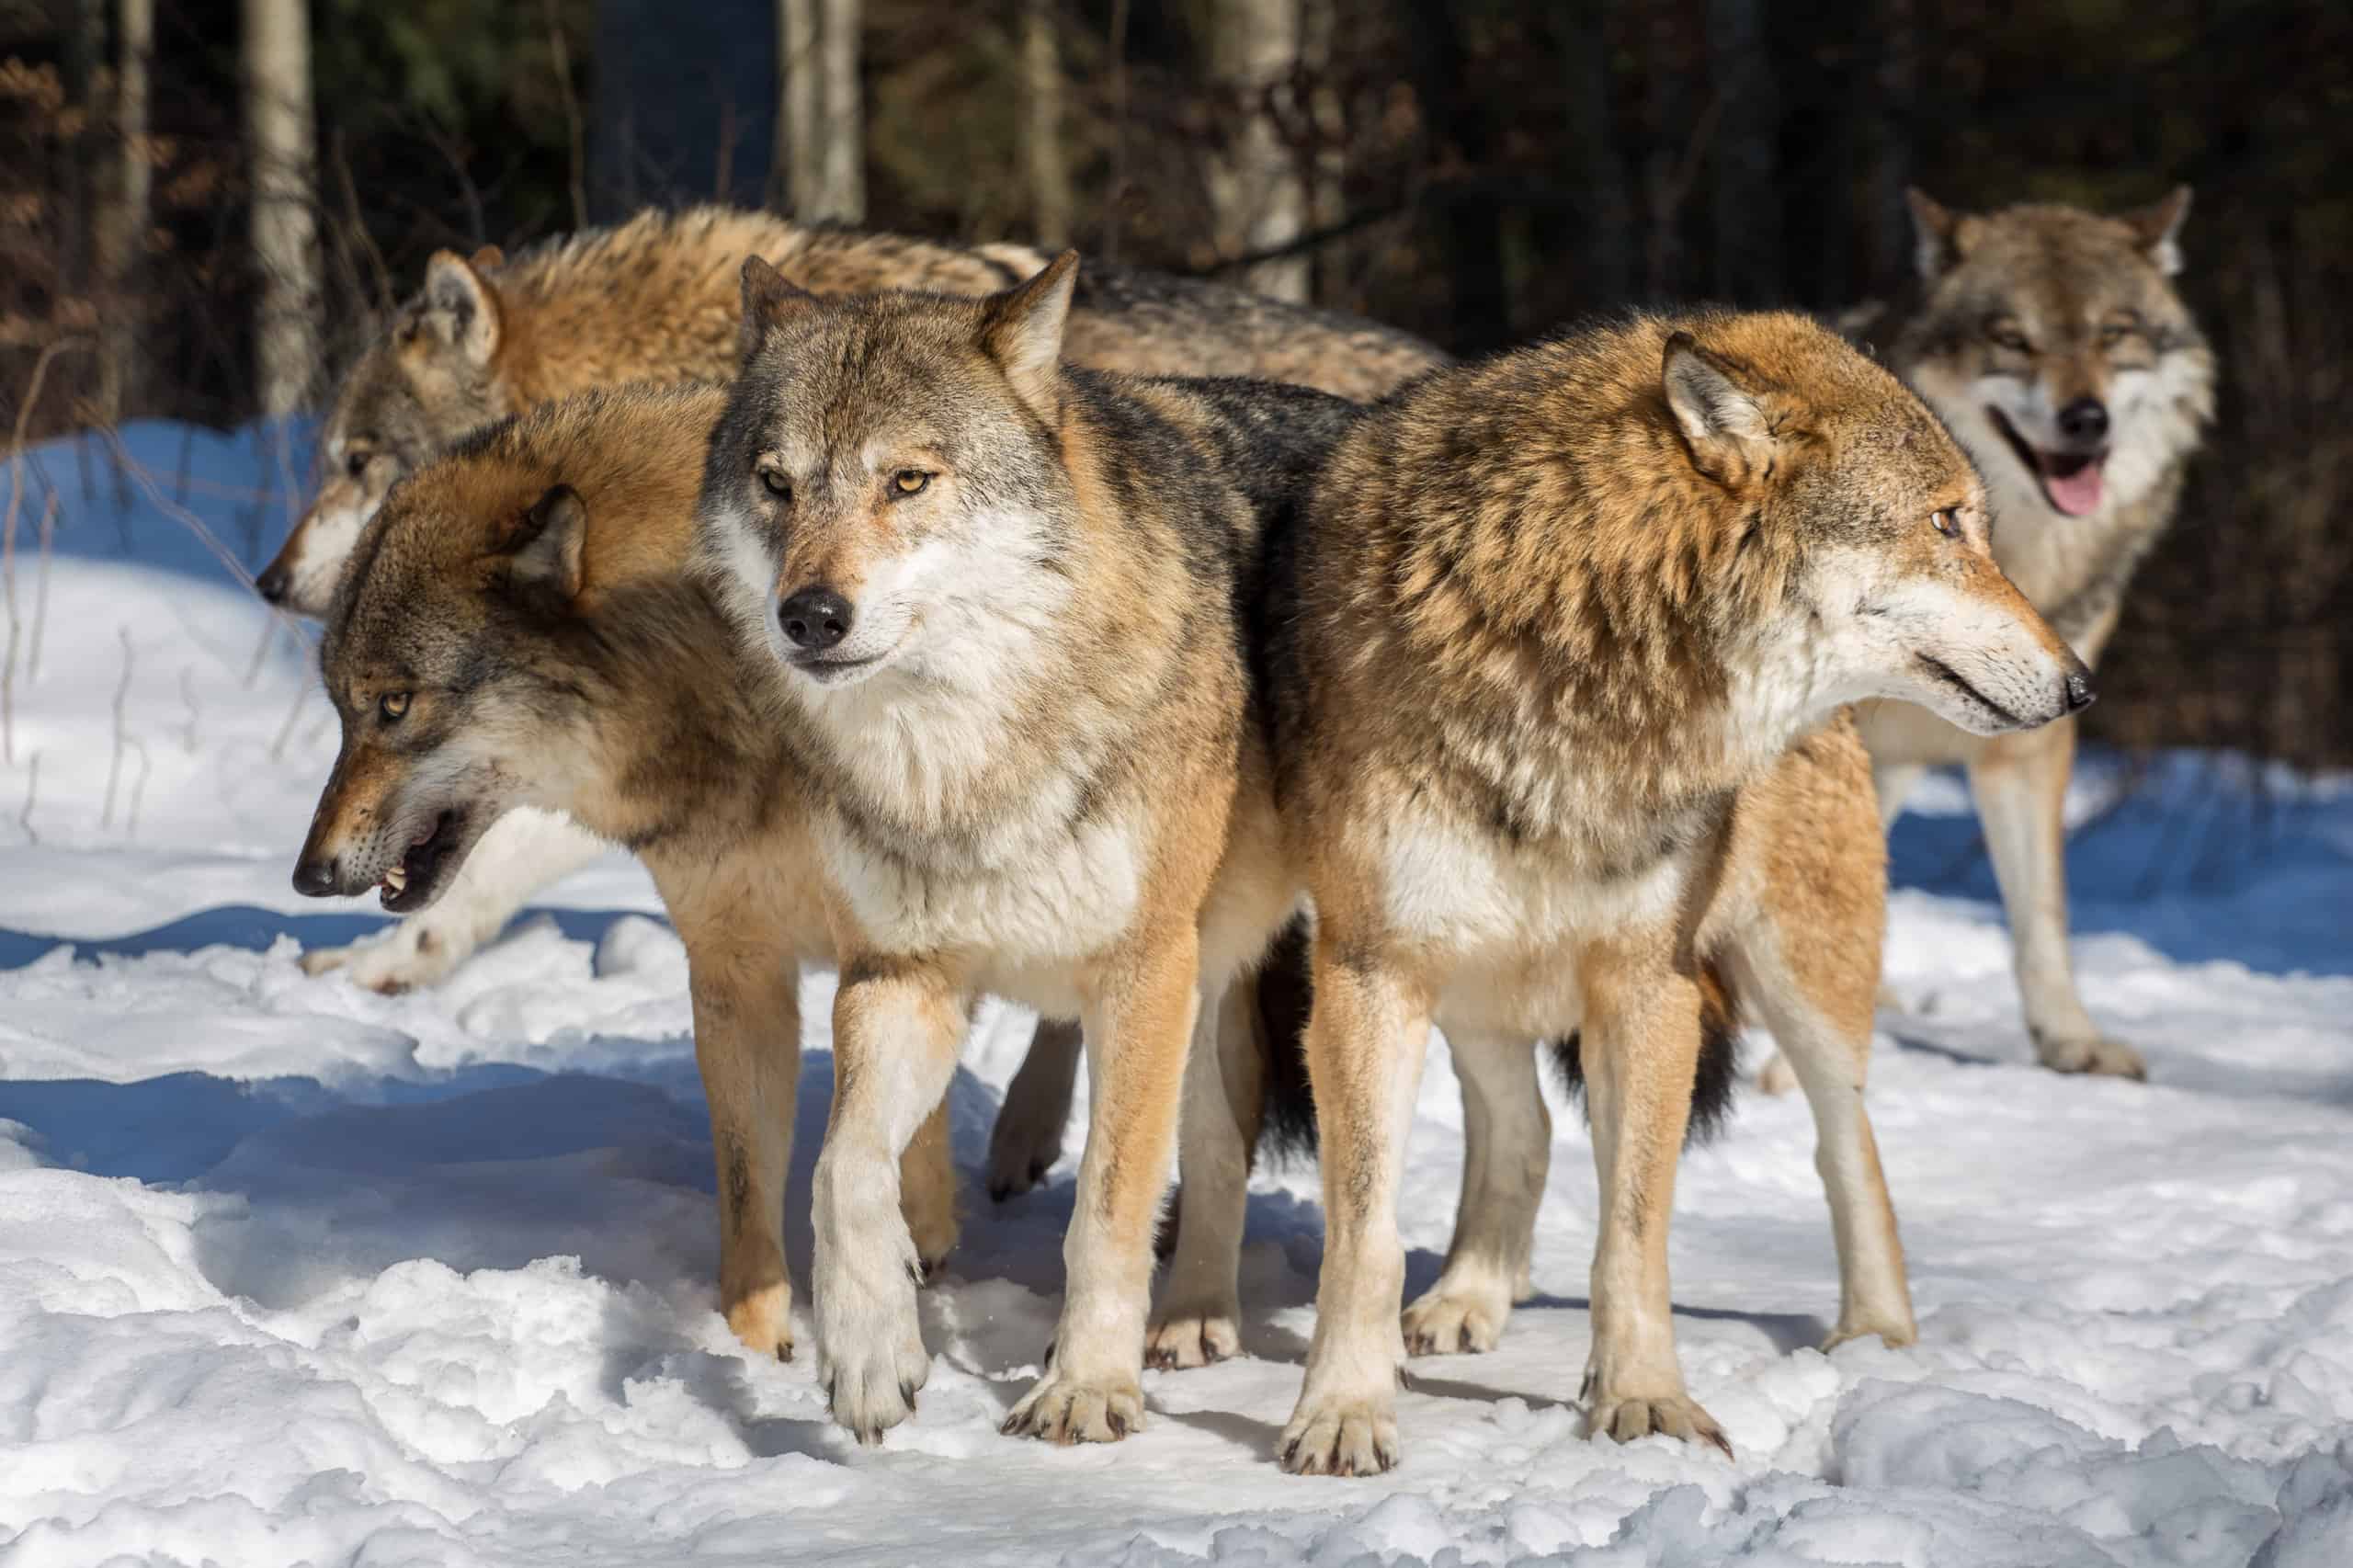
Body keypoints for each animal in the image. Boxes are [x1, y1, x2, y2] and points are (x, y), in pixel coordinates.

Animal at [693, 253, 1361, 1445]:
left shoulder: (1141, 968)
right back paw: (1192, 1318)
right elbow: (840, 1170)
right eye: (776, 482)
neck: (960, 757)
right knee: (1219, 1140)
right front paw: (871, 1355)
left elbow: (1105, 1204)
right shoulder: (903, 973)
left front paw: (1085, 1387)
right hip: (1212, 970)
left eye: (908, 481)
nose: (809, 615)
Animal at [1264, 310, 2093, 1475]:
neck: (1586, 662)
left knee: (1847, 1146)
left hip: (1798, 975)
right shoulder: (1367, 971)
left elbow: (1633, 1232)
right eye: (1946, 521)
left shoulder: (1645, 984)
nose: (2082, 686)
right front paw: (1343, 1407)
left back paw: (1876, 1335)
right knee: (1522, 1126)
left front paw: (1644, 1401)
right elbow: (1366, 1232)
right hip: (1477, 978)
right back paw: (1470, 1298)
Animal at [1843, 189, 2213, 1080]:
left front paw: (2070, 1040)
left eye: (2113, 333)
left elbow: (2041, 914)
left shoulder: (2034, 736)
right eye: (2013, 339)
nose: (2086, 421)